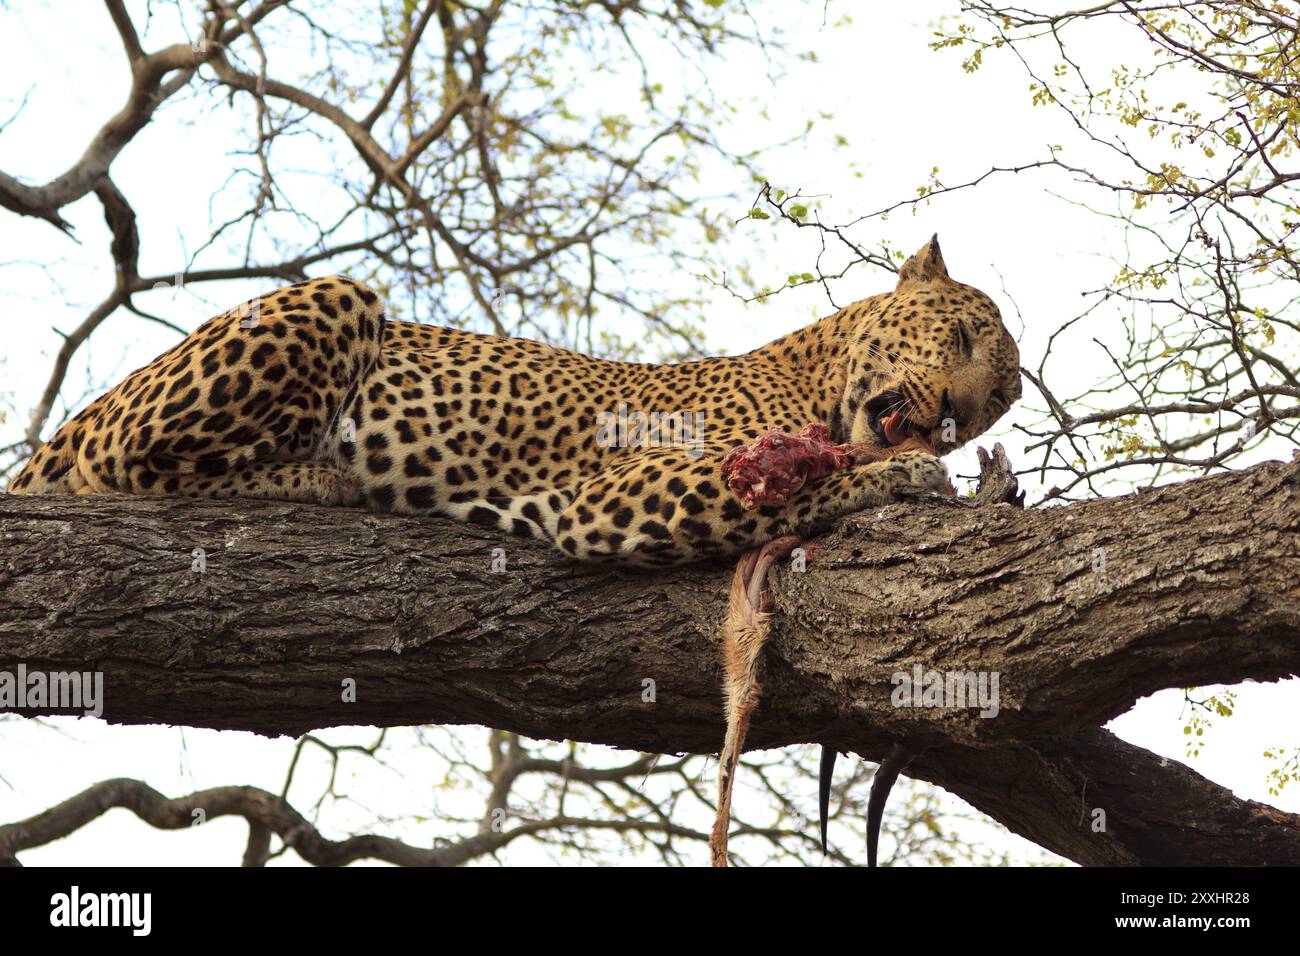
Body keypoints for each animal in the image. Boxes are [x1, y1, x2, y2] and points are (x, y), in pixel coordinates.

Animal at [9, 236, 1022, 569]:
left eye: (998, 406)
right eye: (964, 338)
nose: (952, 418)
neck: (813, 373)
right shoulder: (616, 494)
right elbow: (820, 480)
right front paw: (910, 476)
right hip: (337, 297)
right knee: (125, 465)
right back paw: (321, 477)